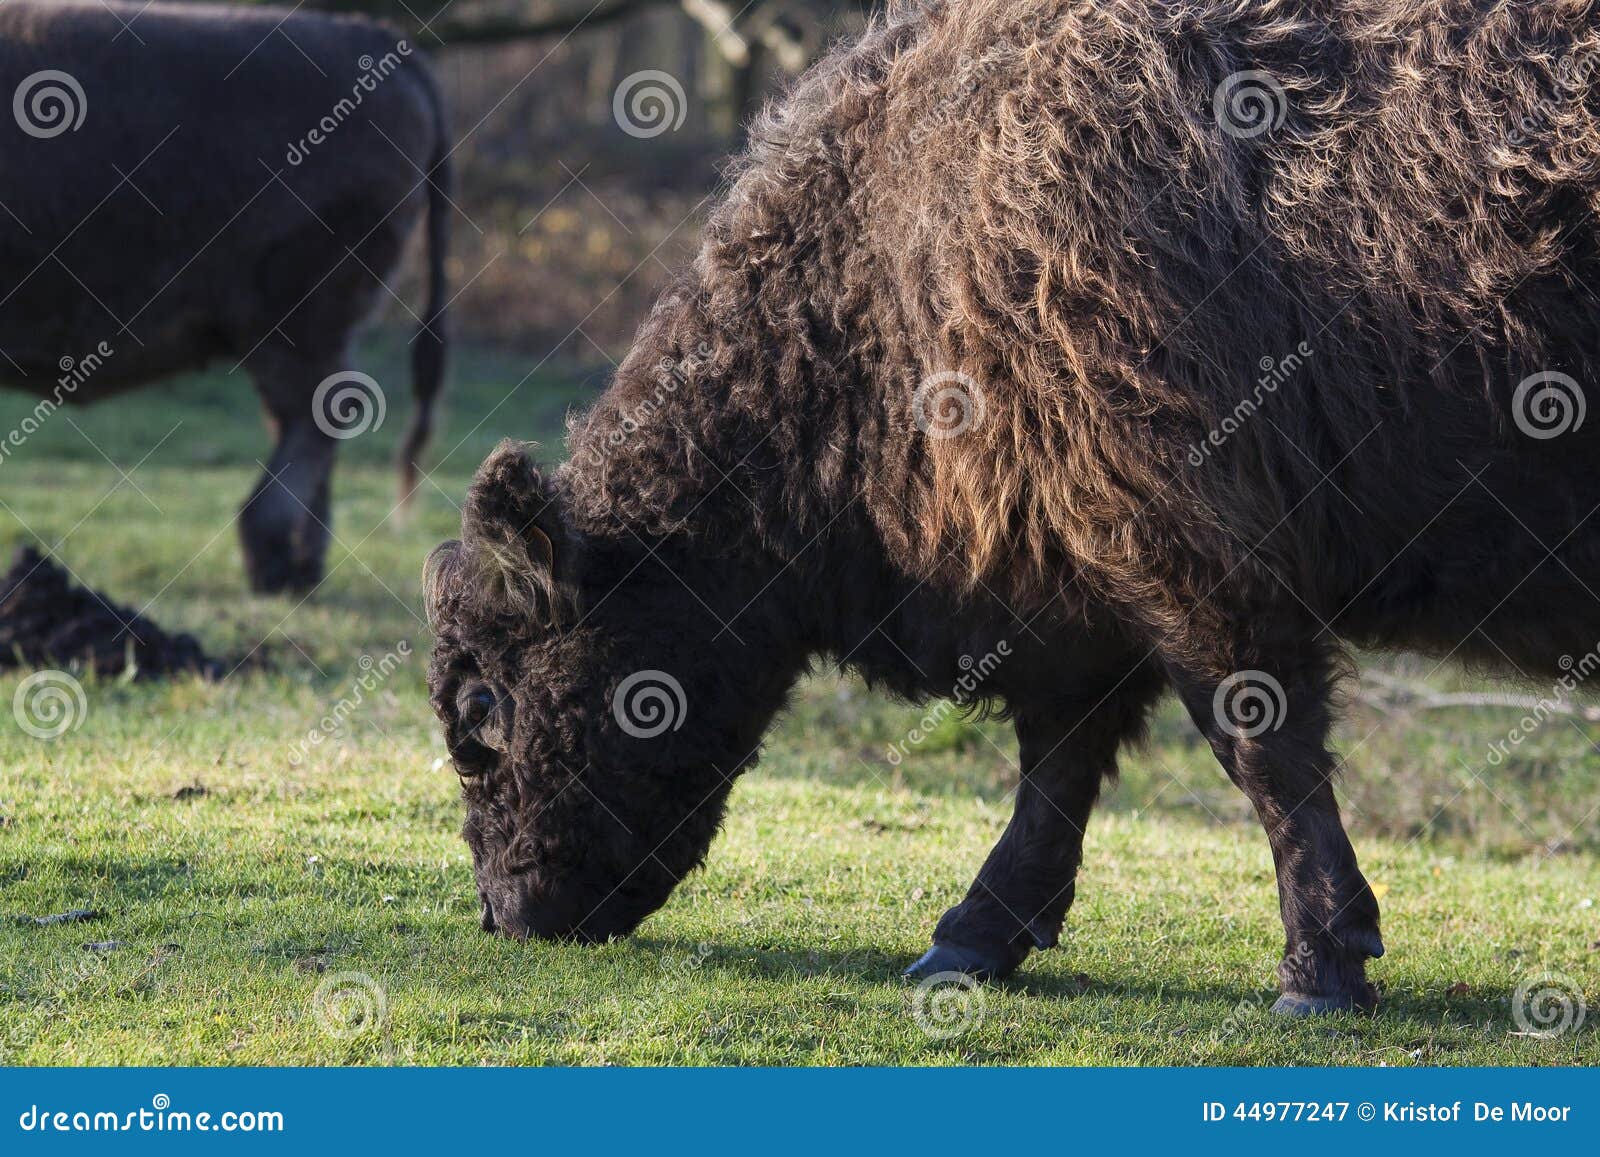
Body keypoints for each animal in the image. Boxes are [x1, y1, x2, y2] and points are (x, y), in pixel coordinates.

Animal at [0, 0, 449, 592]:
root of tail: (371, 36)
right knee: (312, 415)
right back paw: (301, 567)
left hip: (296, 316)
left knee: (316, 414)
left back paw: (271, 559)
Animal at [425, 0, 1600, 1015]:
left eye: (482, 707)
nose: (501, 913)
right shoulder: (1071, 580)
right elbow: (1059, 762)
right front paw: (972, 935)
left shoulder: (1185, 550)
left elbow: (1260, 744)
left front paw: (1321, 964)